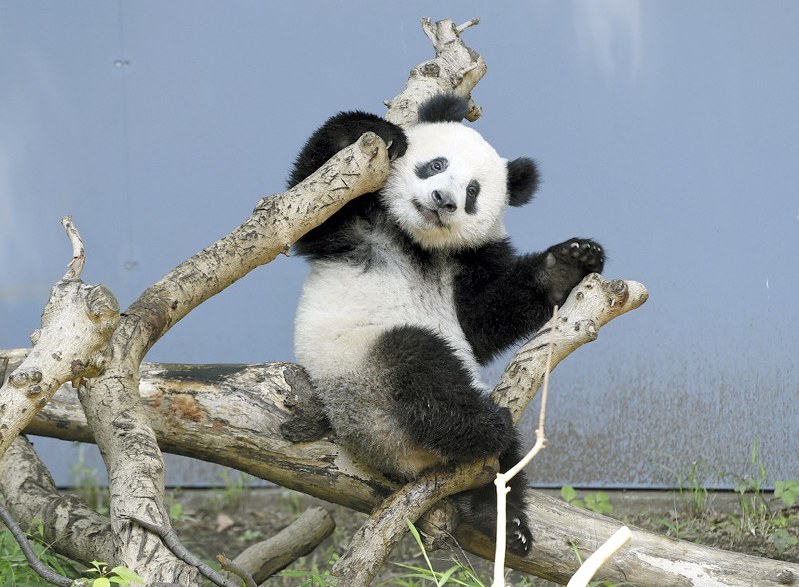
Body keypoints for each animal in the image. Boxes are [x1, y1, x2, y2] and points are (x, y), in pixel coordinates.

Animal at [289, 94, 604, 555]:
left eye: (472, 191)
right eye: (436, 165)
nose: (442, 199)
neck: (419, 243)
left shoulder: (472, 262)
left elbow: (484, 320)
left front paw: (573, 260)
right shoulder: (355, 231)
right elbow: (311, 201)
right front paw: (376, 131)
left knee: (498, 454)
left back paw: (503, 517)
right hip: (364, 386)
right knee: (418, 363)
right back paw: (486, 429)